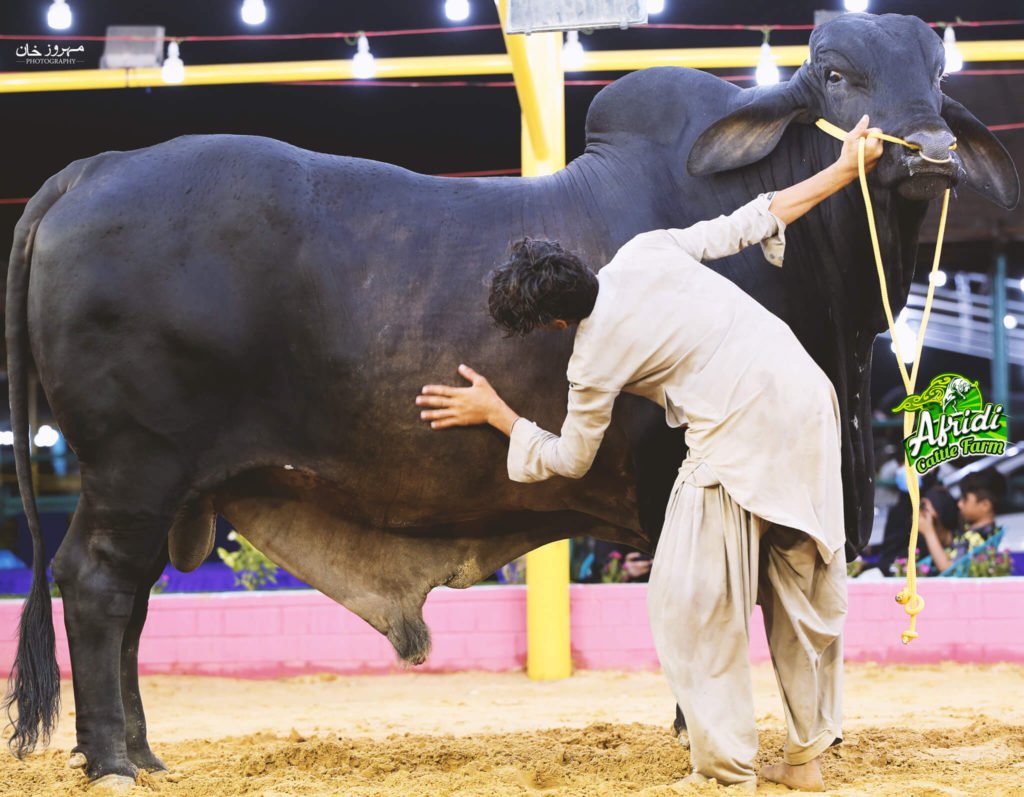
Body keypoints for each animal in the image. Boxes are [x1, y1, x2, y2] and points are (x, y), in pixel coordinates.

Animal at [4, 12, 1018, 786]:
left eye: (938, 76)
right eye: (836, 74)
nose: (930, 152)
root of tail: (89, 169)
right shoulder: (675, 475)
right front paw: (697, 735)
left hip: (155, 486)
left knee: (129, 604)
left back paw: (144, 754)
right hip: (134, 467)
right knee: (97, 587)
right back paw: (113, 760)